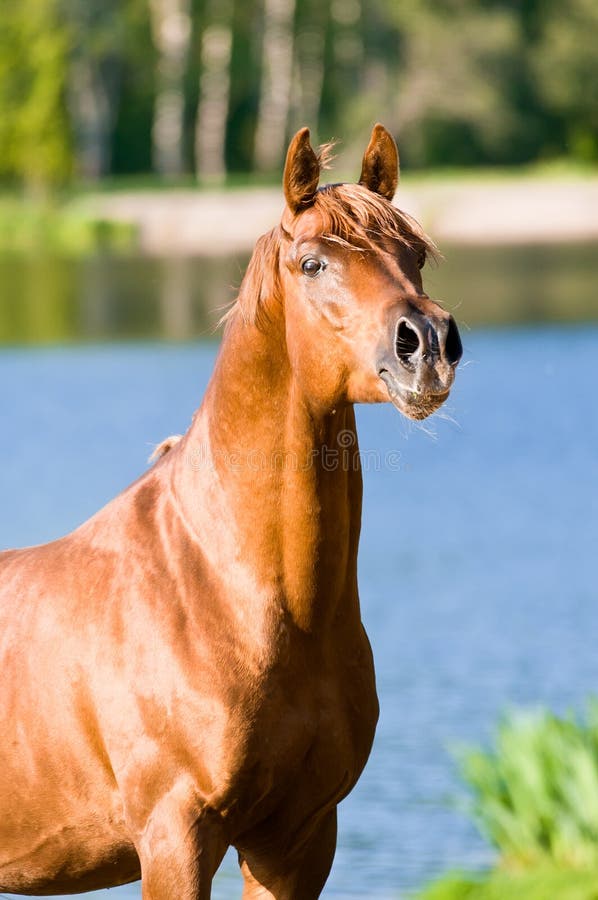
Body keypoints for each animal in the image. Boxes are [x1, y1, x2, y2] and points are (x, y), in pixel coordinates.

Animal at [0, 124, 462, 899]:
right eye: (312, 262)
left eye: (415, 255)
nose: (426, 346)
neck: (223, 589)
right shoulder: (175, 838)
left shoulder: (299, 840)